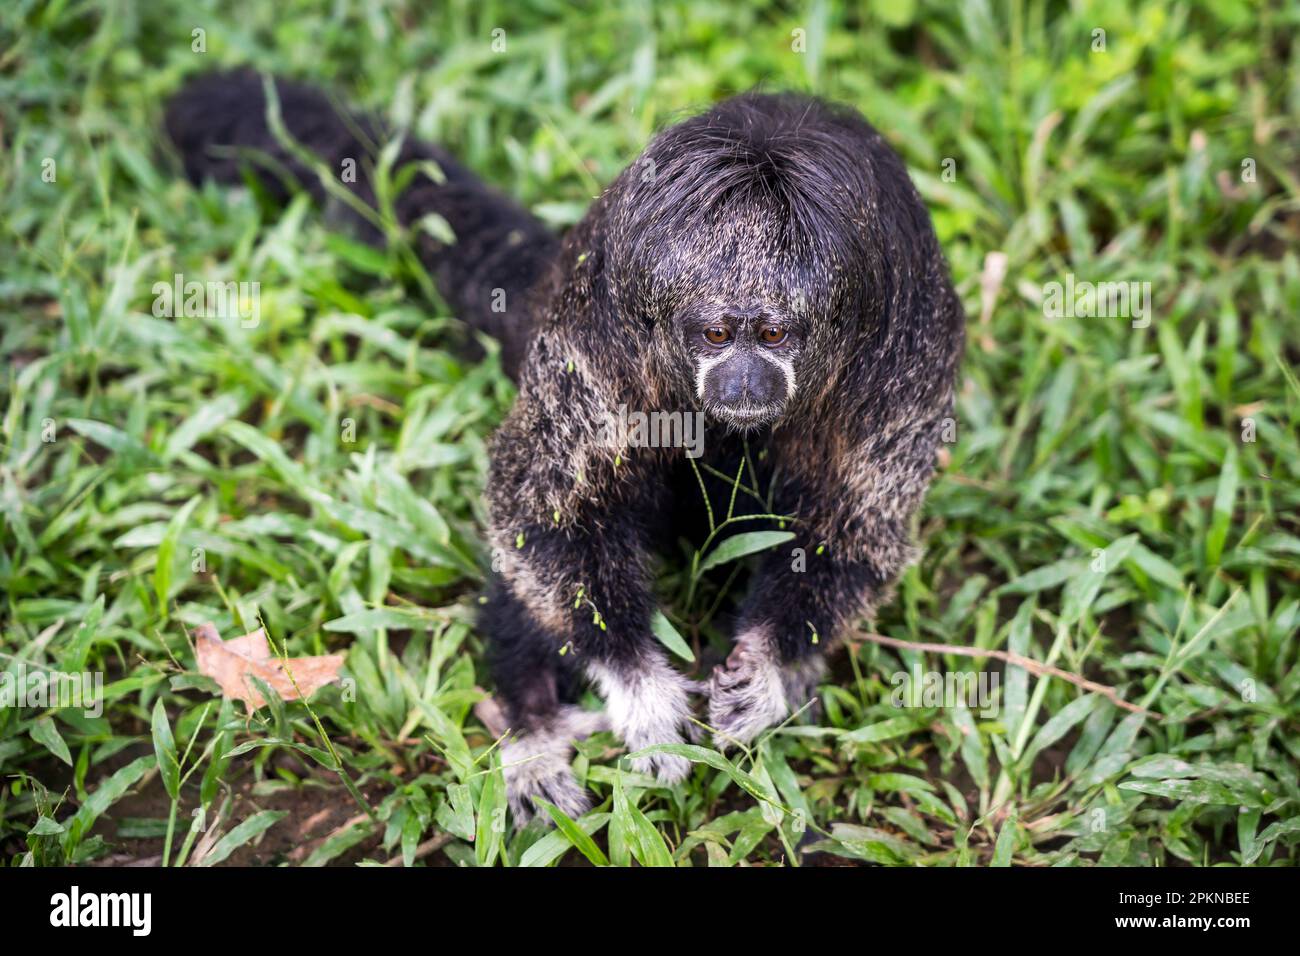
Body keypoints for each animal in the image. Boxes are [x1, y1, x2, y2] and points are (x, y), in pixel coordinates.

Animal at [165, 71, 964, 826]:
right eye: (715, 334)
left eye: (772, 334)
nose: (742, 378)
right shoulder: (602, 331)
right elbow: (545, 515)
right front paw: (638, 687)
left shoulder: (903, 356)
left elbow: (856, 527)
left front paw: (768, 668)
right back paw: (533, 727)